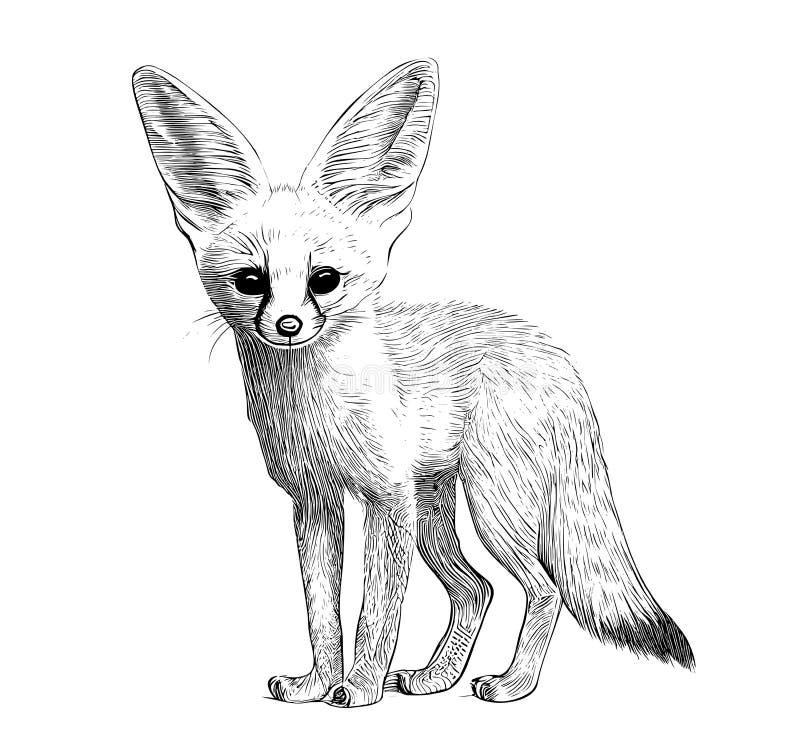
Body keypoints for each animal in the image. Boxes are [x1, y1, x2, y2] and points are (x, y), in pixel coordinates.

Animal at [132, 58, 694, 707]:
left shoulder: (386, 498)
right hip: (435, 516)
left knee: (543, 589)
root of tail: (556, 356)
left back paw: (513, 684)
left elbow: (377, 612)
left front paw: (359, 687)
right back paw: (436, 677)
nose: (288, 325)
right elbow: (322, 612)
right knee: (477, 588)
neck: (313, 407)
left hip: (488, 508)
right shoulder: (314, 505)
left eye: (323, 280)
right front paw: (318, 682)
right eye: (252, 281)